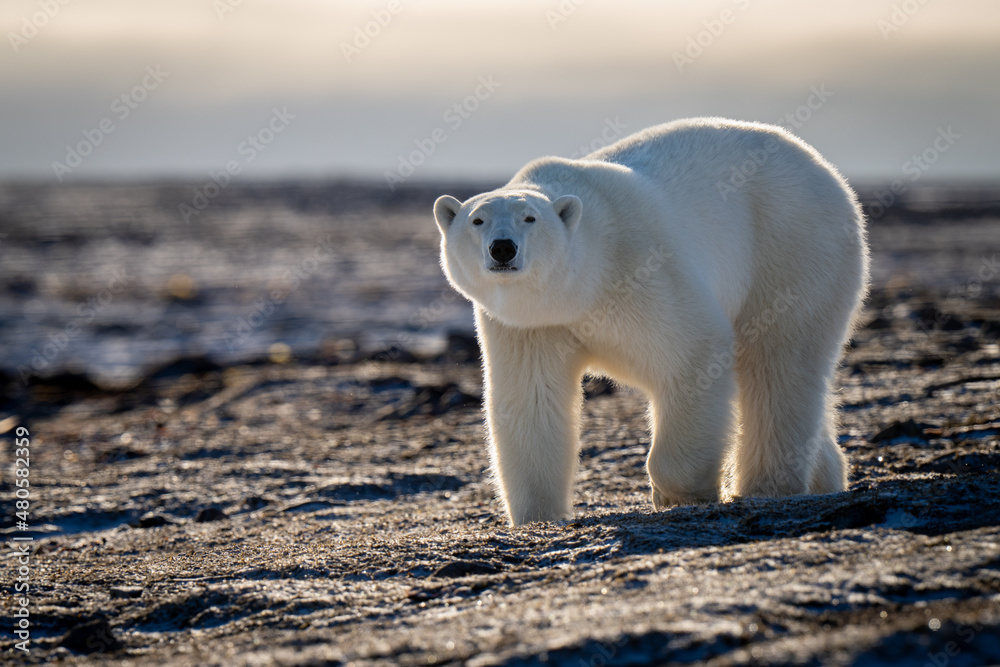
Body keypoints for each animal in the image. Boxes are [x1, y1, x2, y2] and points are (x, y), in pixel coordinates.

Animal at [433, 117, 869, 526]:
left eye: (529, 218)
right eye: (477, 220)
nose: (503, 248)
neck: (582, 285)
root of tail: (826, 171)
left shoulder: (642, 265)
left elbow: (692, 354)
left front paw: (677, 494)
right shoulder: (529, 325)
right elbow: (531, 401)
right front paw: (537, 514)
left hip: (791, 247)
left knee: (779, 364)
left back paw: (765, 487)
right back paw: (824, 478)